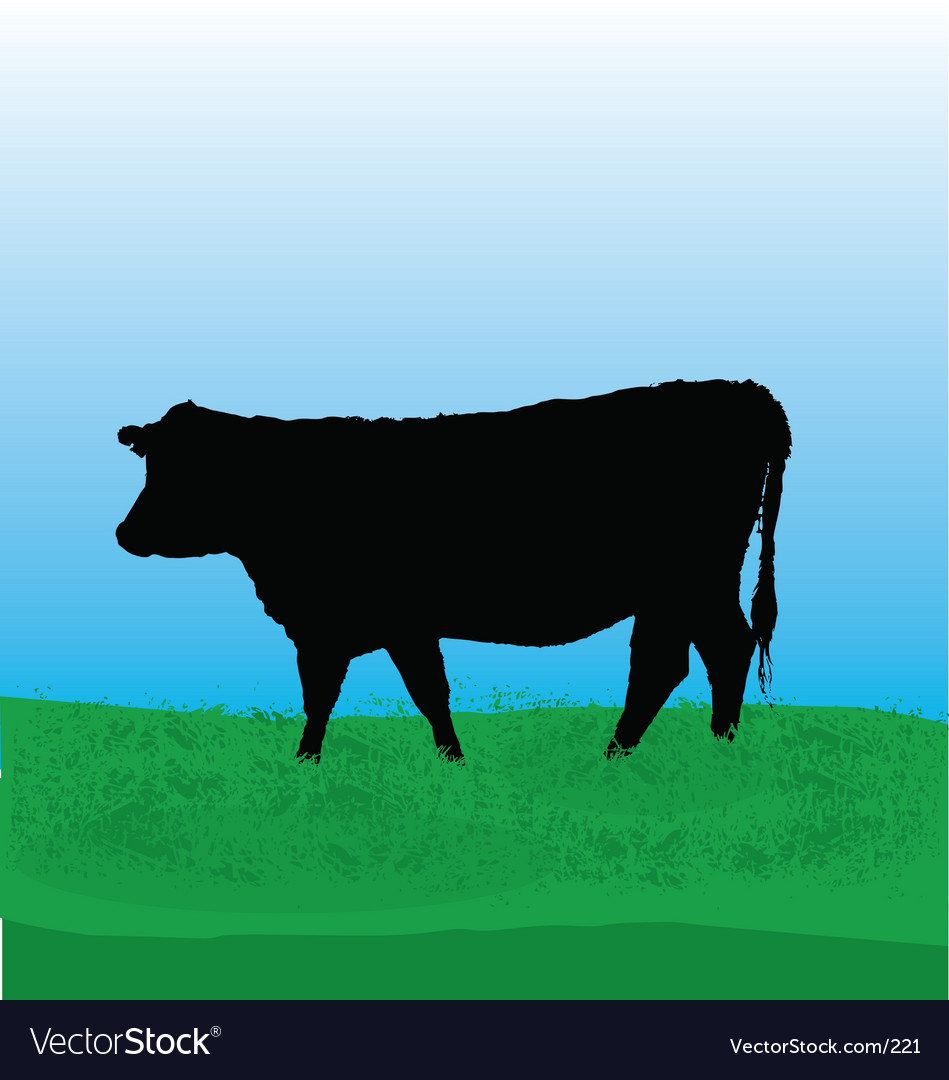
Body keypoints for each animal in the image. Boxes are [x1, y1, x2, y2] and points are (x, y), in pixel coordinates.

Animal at [116, 379, 791, 766]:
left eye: (191, 470)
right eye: (153, 461)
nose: (126, 534)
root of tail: (748, 393)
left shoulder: (371, 620)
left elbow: (405, 693)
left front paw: (312, 766)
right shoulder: (347, 624)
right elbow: (350, 693)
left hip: (696, 579)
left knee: (714, 650)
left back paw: (701, 749)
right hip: (673, 590)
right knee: (677, 660)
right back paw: (651, 752)